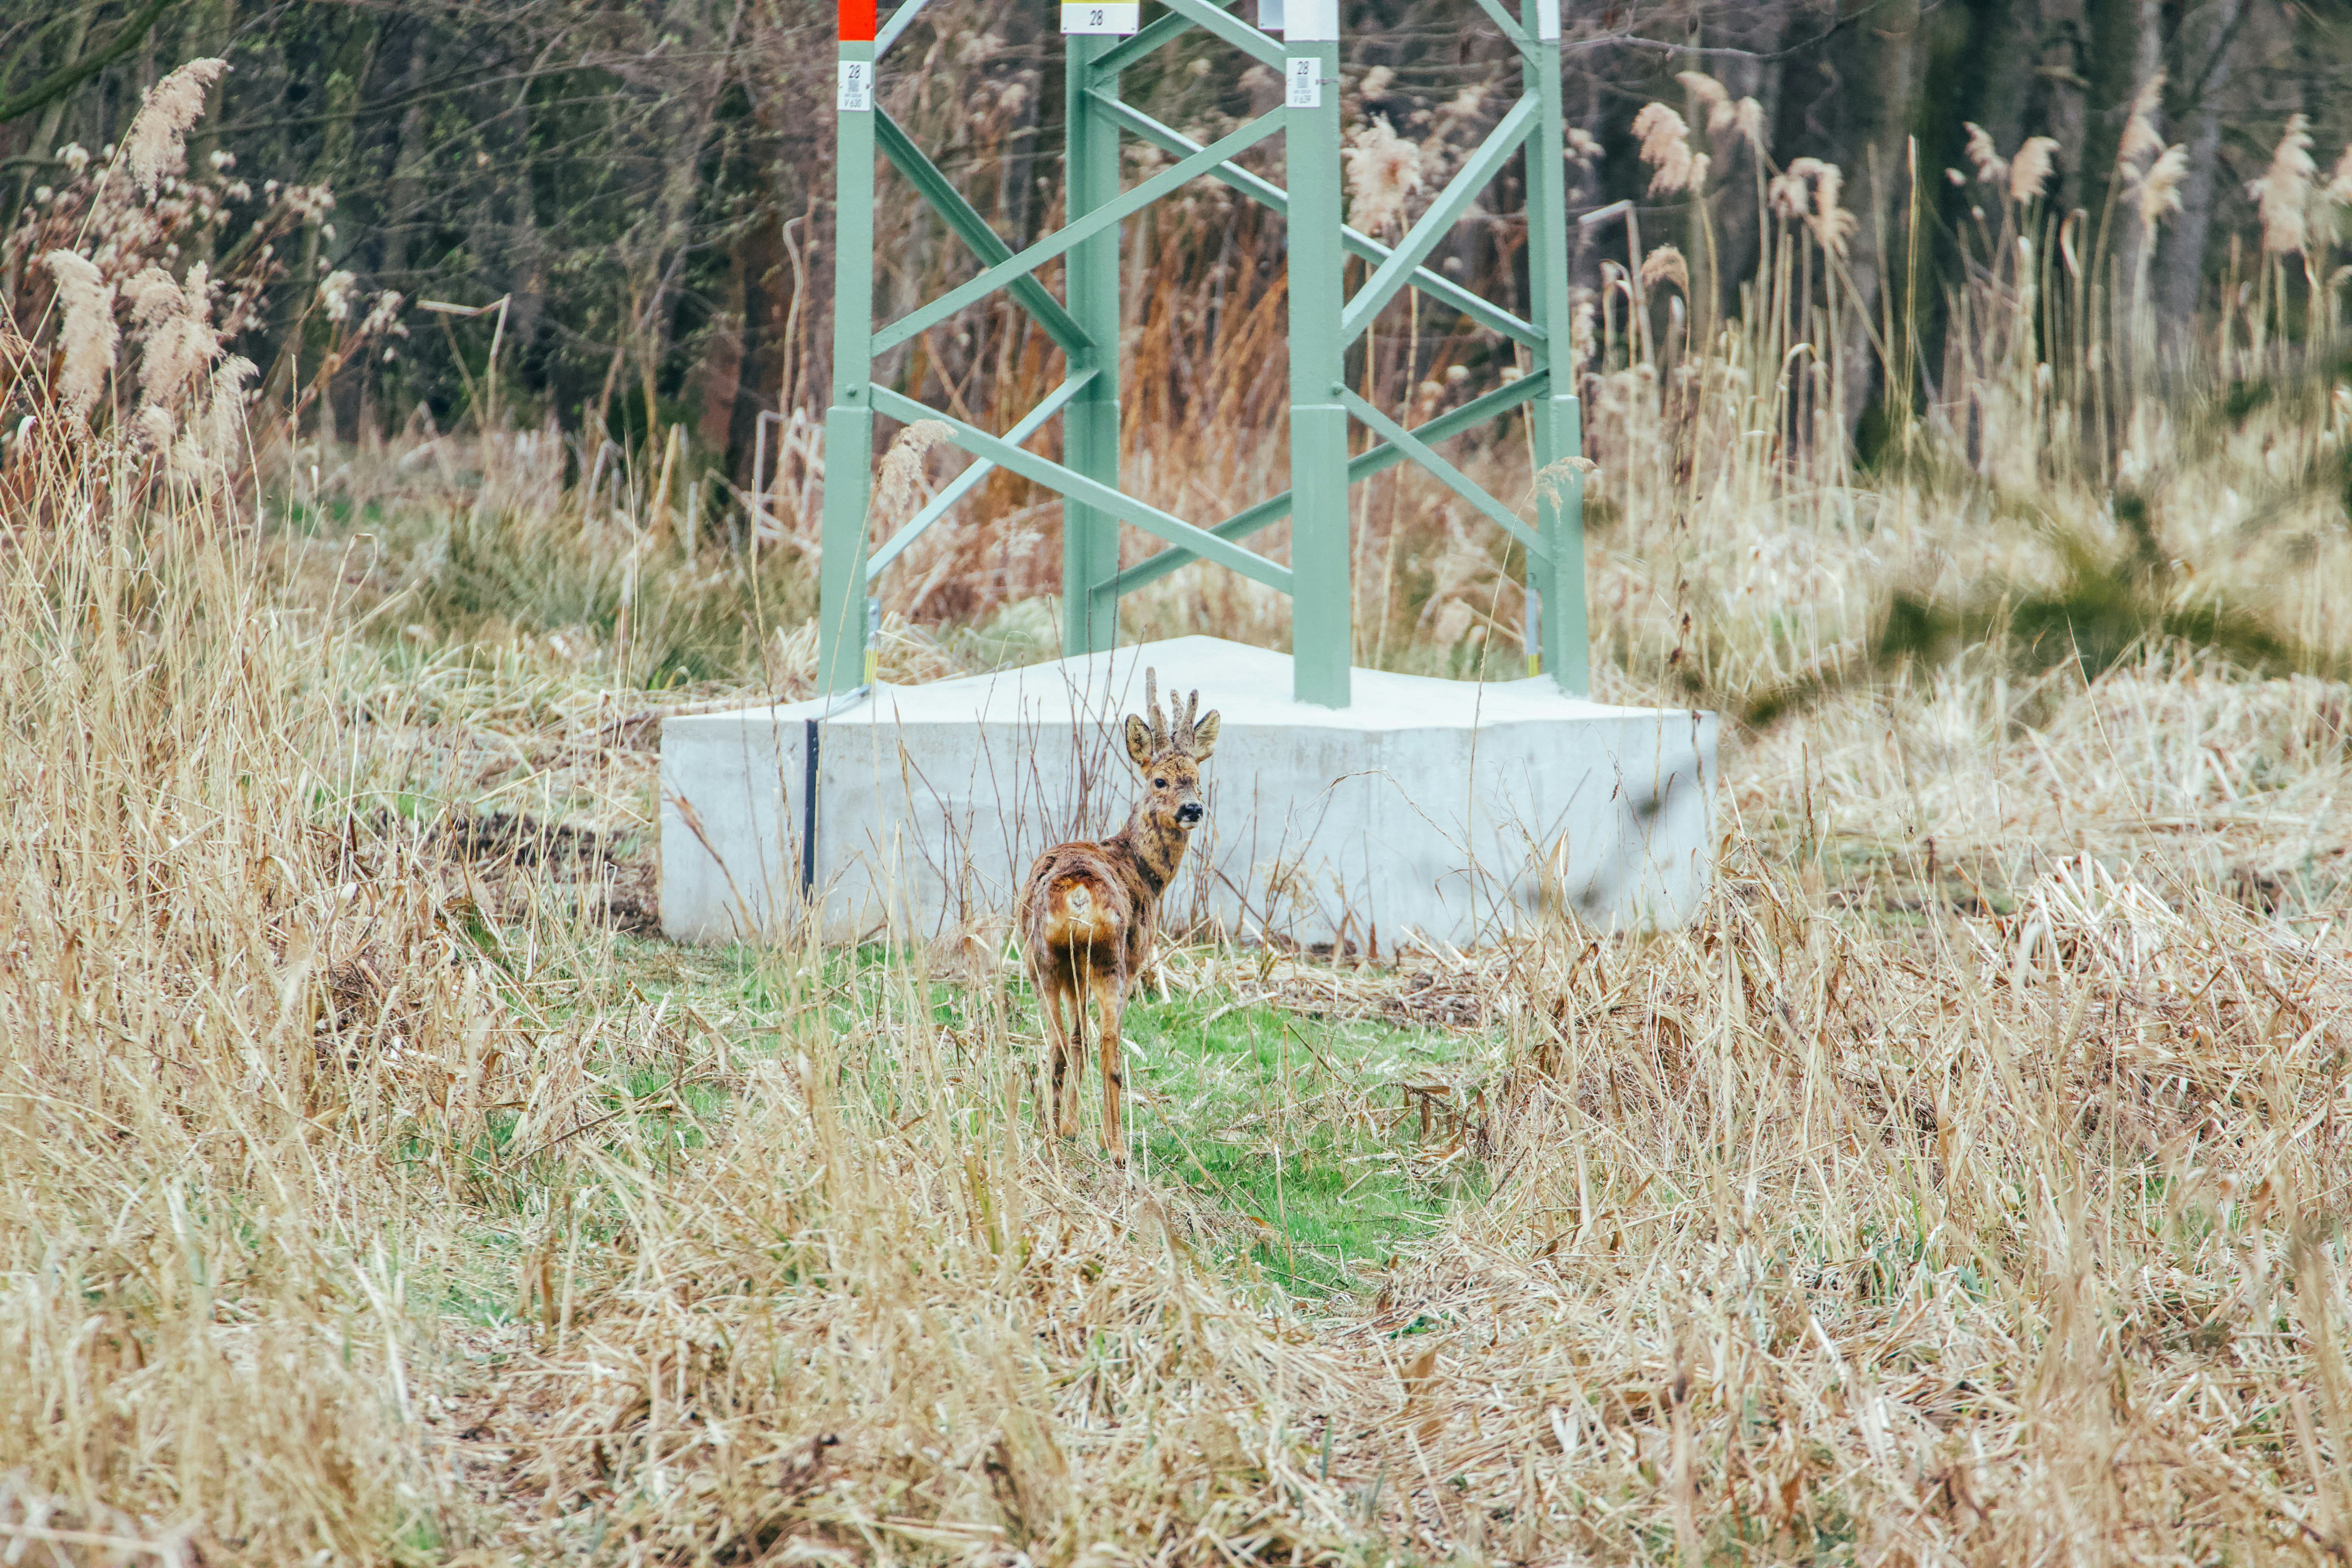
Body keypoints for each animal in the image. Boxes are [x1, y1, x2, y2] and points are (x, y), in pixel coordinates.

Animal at [1018, 669, 1219, 1166]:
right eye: (1160, 780)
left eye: (1197, 779)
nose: (1193, 809)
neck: (1141, 868)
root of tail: (1077, 893)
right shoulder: (1132, 956)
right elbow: (1092, 1041)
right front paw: (1084, 1132)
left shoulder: (1074, 971)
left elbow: (1076, 1038)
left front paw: (1070, 1128)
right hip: (1110, 960)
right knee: (1108, 1046)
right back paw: (1117, 1148)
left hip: (1046, 961)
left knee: (1060, 1043)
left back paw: (1052, 1137)